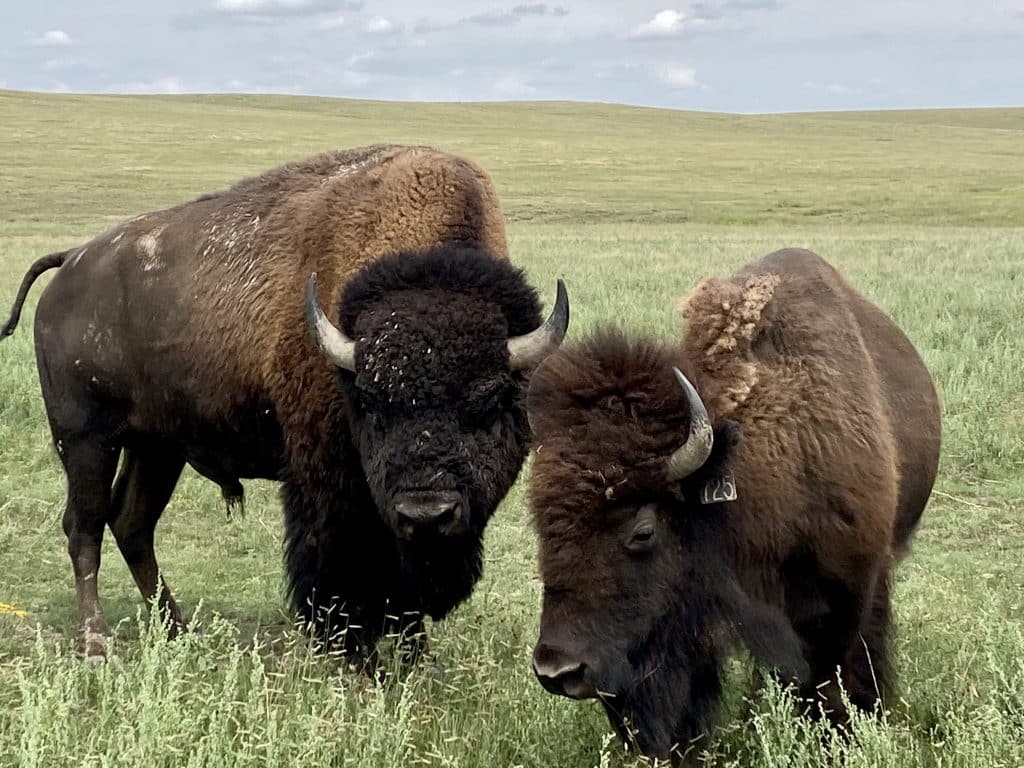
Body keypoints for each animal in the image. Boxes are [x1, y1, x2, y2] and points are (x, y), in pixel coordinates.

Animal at [2, 144, 569, 663]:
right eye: (370, 403)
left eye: (491, 401)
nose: (427, 513)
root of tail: (71, 261)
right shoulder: (327, 480)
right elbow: (338, 567)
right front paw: (350, 653)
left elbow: (397, 581)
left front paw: (413, 655)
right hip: (85, 438)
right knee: (85, 526)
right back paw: (96, 644)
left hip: (156, 447)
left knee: (132, 523)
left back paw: (179, 632)